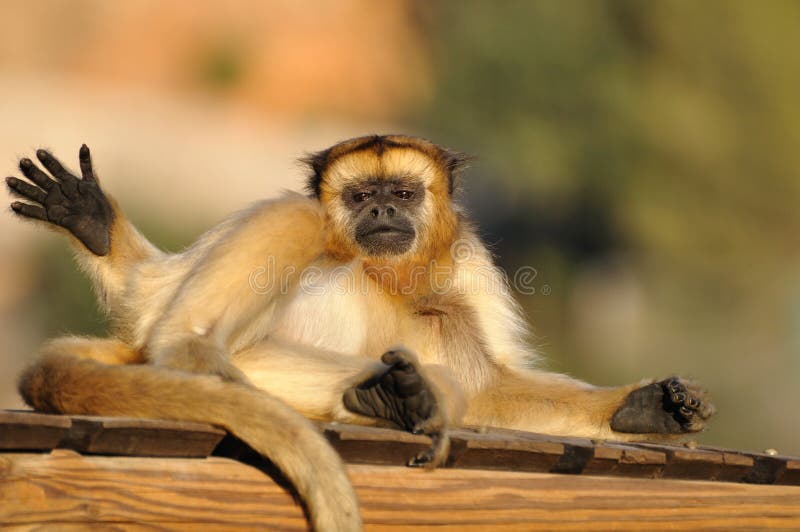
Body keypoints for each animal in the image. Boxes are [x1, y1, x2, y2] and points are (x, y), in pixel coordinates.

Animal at [6, 136, 714, 512]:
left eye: (400, 194)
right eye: (360, 196)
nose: (379, 211)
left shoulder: (469, 262)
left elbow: (489, 389)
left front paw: (646, 410)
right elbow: (148, 293)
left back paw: (394, 396)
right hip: (221, 339)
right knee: (210, 278)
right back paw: (191, 356)